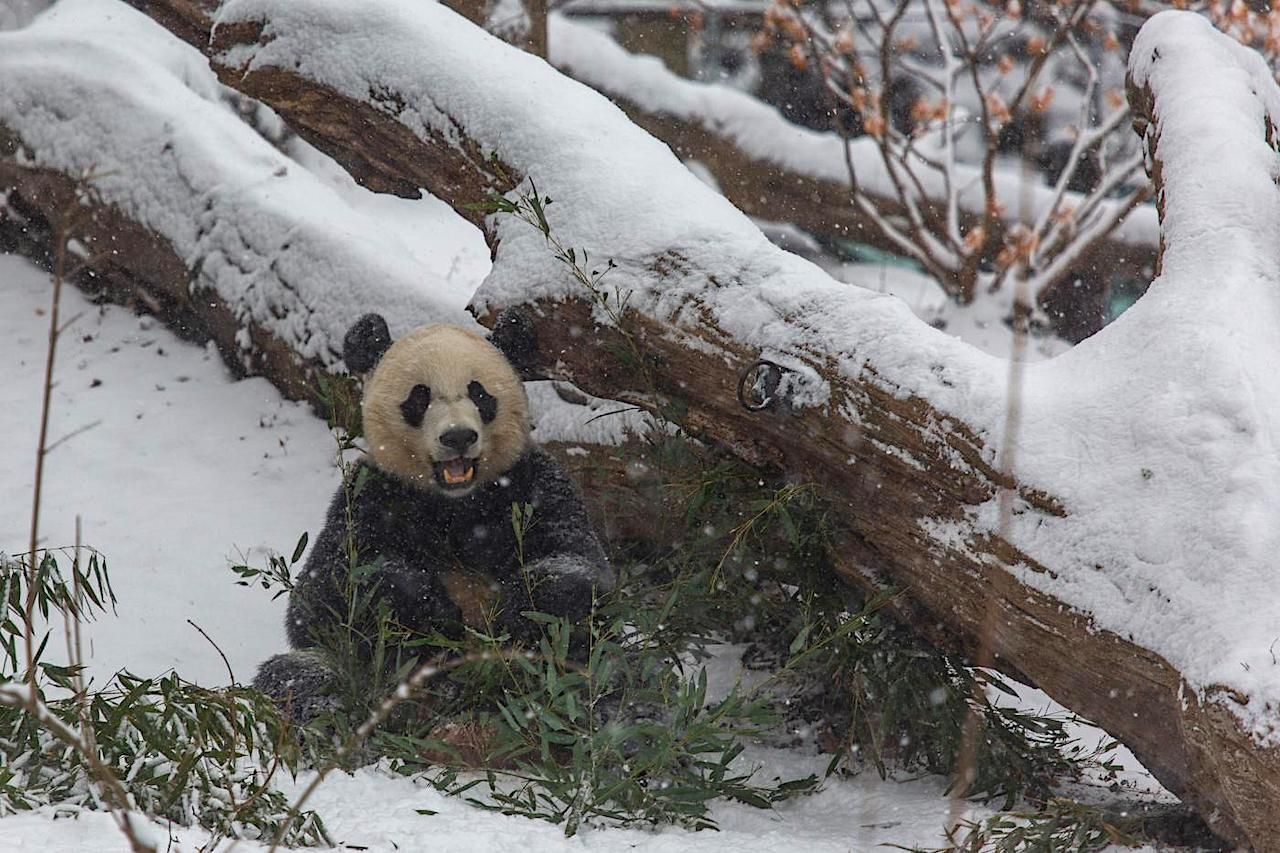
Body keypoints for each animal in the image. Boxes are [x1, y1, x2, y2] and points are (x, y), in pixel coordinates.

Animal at [254, 312, 612, 721]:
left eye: (479, 393)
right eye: (419, 397)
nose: (458, 437)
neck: (455, 503)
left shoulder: (533, 488)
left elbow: (575, 565)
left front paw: (517, 614)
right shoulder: (370, 498)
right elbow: (326, 594)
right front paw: (431, 612)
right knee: (301, 676)